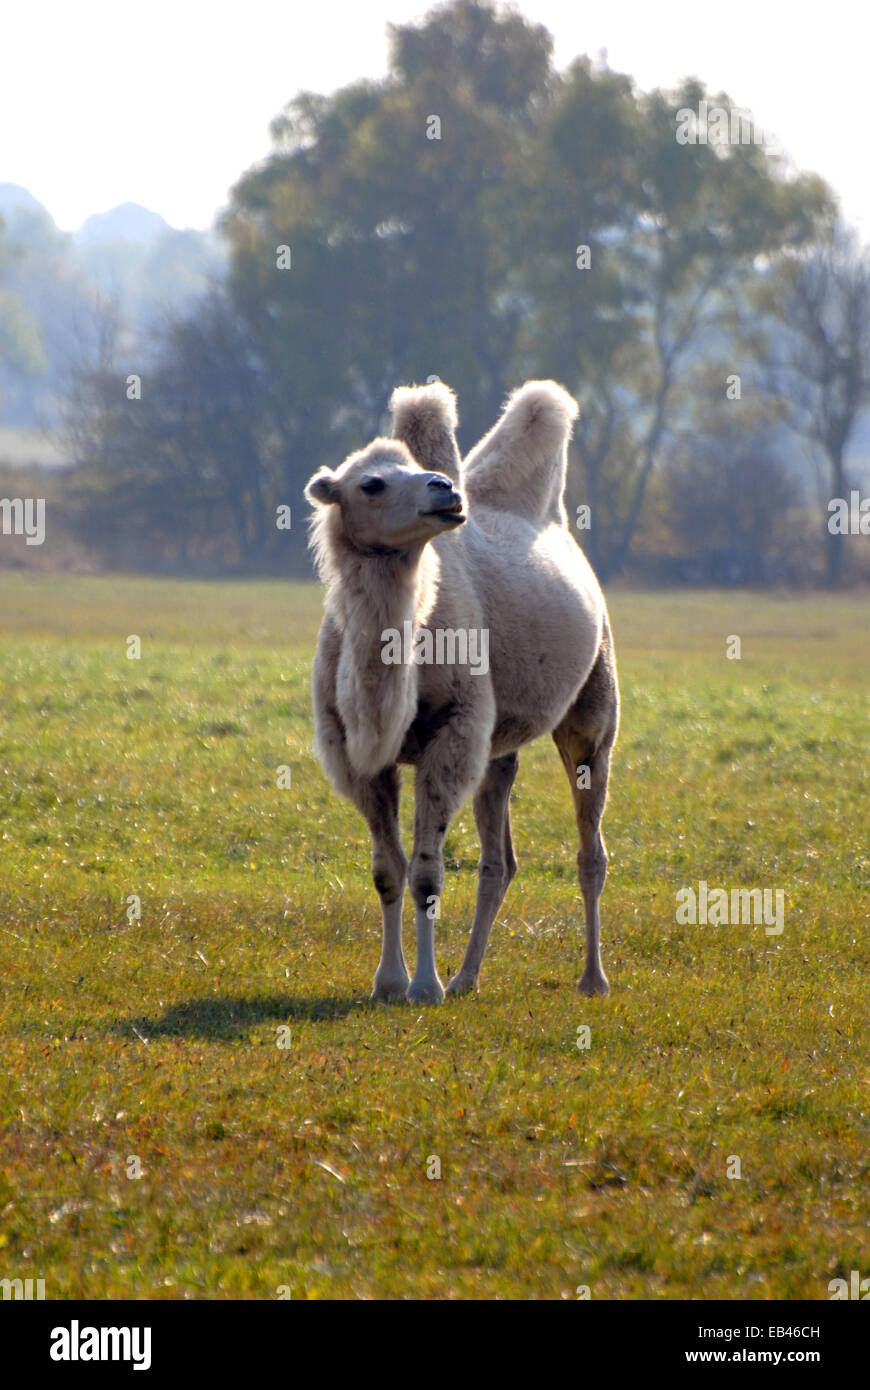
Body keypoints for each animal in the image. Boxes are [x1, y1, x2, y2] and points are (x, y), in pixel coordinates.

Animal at [305, 379, 619, 1003]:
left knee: (589, 848)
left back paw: (592, 978)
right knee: (500, 861)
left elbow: (428, 871)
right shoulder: (357, 755)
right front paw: (388, 982)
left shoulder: (451, 733)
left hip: (593, 708)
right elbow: (387, 870)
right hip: (497, 748)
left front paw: (424, 988)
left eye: (418, 469)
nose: (444, 490)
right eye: (371, 483)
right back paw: (469, 976)